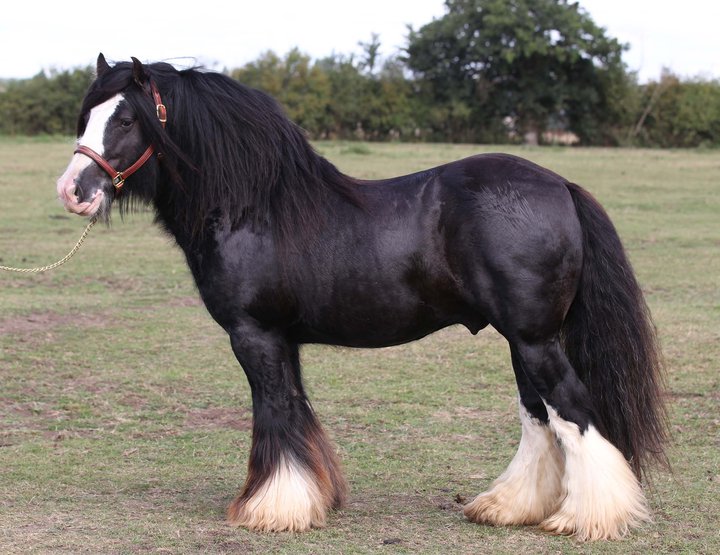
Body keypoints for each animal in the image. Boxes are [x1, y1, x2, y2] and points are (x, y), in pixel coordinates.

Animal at [56, 54, 667, 541]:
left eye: (127, 118)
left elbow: (274, 412)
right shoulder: (283, 340)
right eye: (86, 115)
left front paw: (272, 508)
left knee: (573, 411)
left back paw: (589, 518)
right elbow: (297, 412)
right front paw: (308, 498)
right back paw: (508, 507)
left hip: (535, 339)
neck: (254, 207)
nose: (73, 191)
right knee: (538, 415)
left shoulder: (254, 335)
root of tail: (559, 185)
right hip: (523, 341)